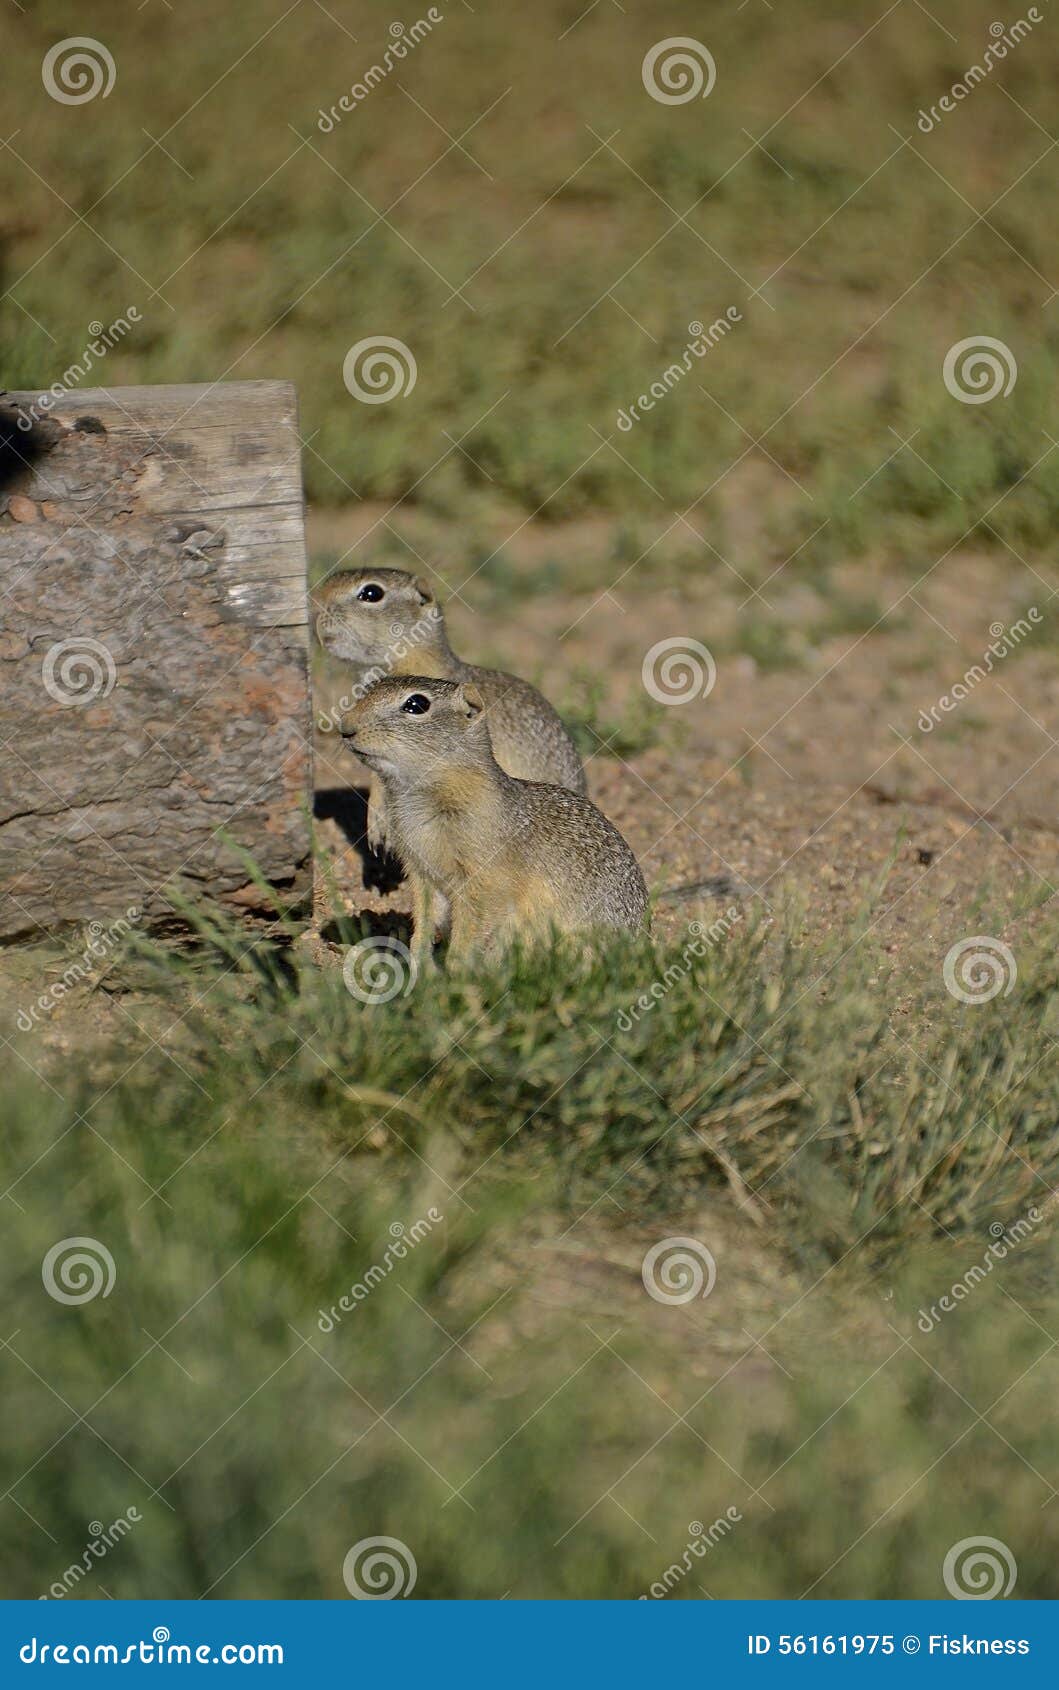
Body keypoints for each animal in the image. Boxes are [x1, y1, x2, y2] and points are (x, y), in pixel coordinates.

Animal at [339, 676, 647, 967]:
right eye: (370, 688)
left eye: (416, 704)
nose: (345, 726)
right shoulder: (422, 871)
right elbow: (425, 916)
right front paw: (419, 961)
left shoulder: (483, 878)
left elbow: (472, 924)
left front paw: (455, 970)